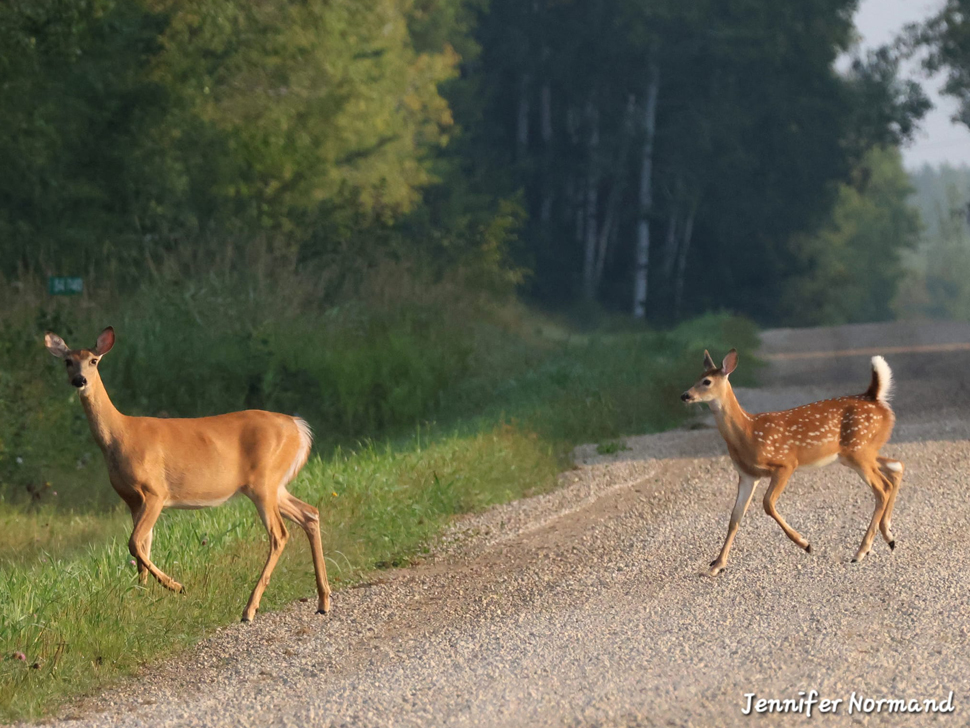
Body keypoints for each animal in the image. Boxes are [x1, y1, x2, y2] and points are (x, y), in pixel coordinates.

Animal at [44, 327, 331, 622]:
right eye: (68, 361)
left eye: (94, 360)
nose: (79, 380)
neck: (119, 436)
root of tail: (299, 427)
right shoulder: (132, 499)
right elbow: (143, 545)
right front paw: (141, 597)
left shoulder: (155, 491)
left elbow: (134, 543)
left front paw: (175, 585)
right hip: (274, 486)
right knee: (310, 514)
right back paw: (323, 601)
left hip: (263, 482)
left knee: (279, 534)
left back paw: (249, 608)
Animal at [681, 349, 904, 577]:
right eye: (697, 377)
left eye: (706, 381)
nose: (685, 395)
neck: (748, 432)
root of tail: (874, 397)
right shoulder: (748, 475)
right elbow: (735, 517)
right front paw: (717, 565)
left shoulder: (785, 464)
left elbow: (768, 504)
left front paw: (805, 544)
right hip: (859, 452)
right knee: (896, 469)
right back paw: (889, 536)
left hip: (858, 451)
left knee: (881, 488)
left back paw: (861, 551)